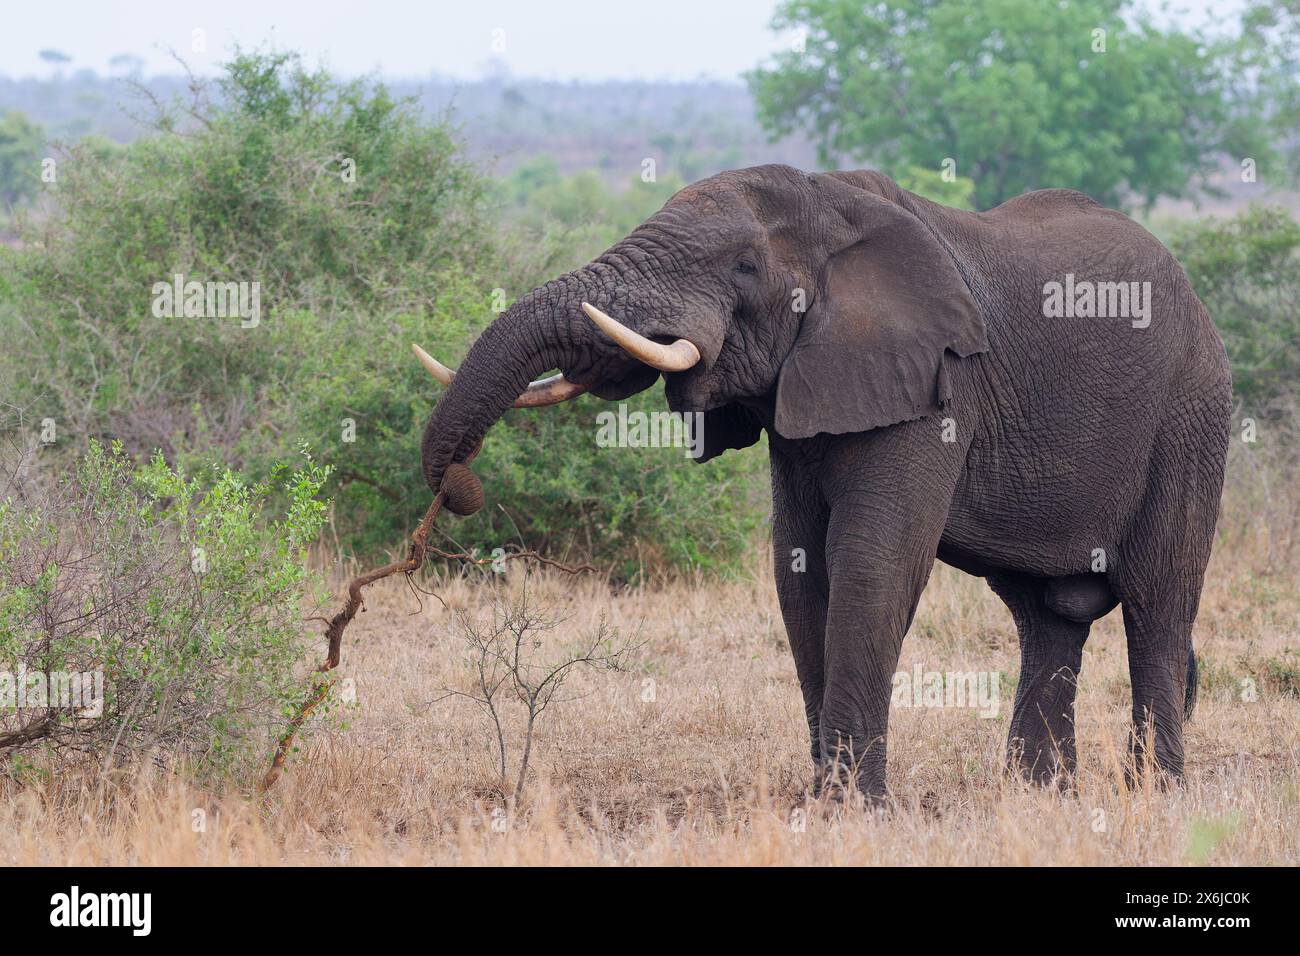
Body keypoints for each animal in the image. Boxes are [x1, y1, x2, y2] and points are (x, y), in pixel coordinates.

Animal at [415, 165, 1231, 799]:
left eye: (743, 268)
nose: (459, 488)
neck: (829, 202)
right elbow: (800, 569)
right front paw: (828, 801)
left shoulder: (939, 384)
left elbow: (871, 561)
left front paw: (854, 809)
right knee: (1047, 616)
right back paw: (1041, 799)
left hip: (1191, 413)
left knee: (1158, 603)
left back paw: (1153, 796)